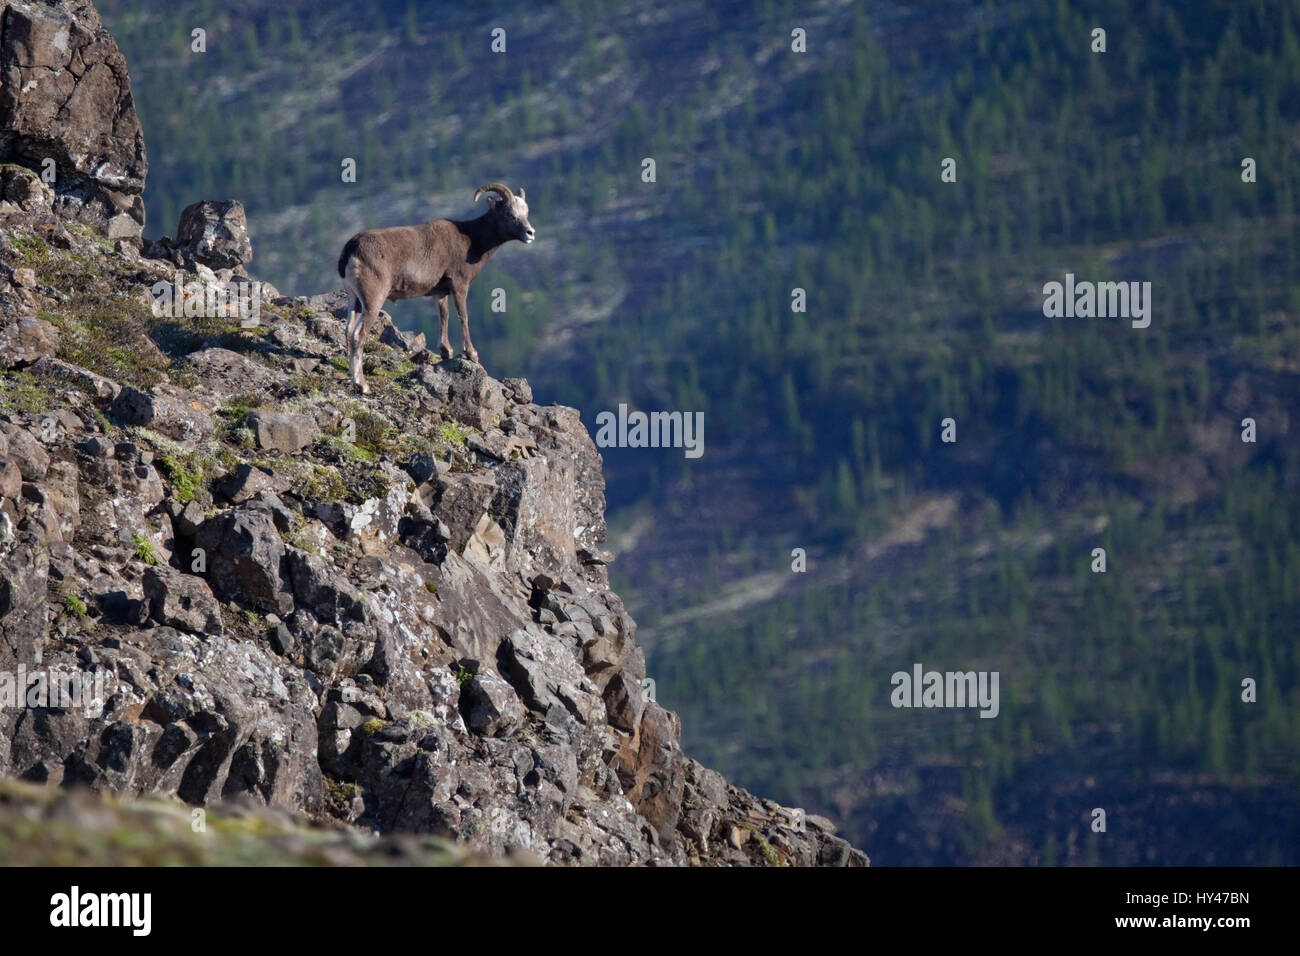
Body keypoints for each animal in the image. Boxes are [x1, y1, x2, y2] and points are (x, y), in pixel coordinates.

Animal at [337, 182, 535, 393]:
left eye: (526, 213)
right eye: (509, 214)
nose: (530, 233)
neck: (472, 240)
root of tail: (351, 248)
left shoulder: (440, 293)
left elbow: (444, 315)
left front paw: (446, 351)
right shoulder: (460, 286)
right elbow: (463, 316)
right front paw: (471, 354)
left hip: (354, 300)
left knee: (348, 330)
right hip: (373, 300)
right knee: (358, 335)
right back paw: (363, 385)